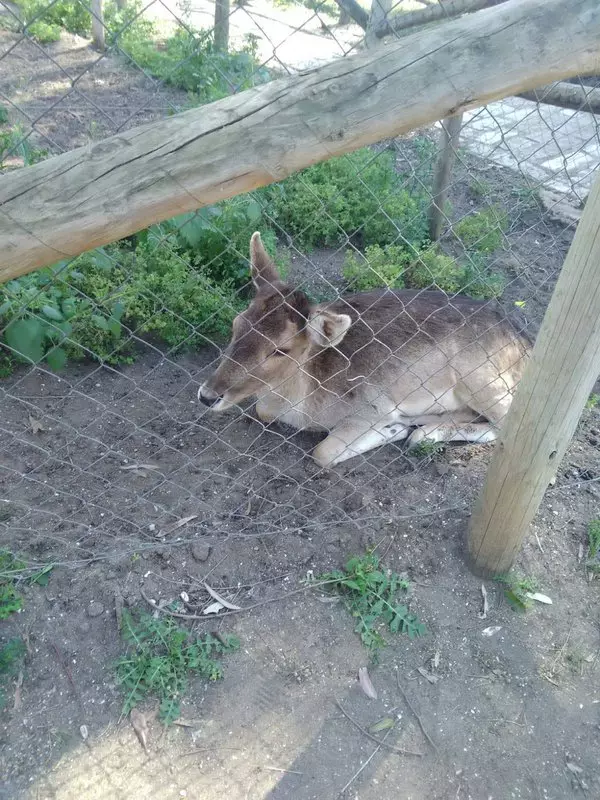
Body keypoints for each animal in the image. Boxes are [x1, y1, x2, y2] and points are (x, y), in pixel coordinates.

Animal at [199, 233, 532, 468]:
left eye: (281, 349)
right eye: (237, 323)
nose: (207, 395)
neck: (304, 405)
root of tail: (525, 345)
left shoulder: (374, 405)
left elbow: (323, 452)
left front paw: (392, 430)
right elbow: (261, 409)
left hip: (482, 379)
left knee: (508, 426)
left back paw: (422, 432)